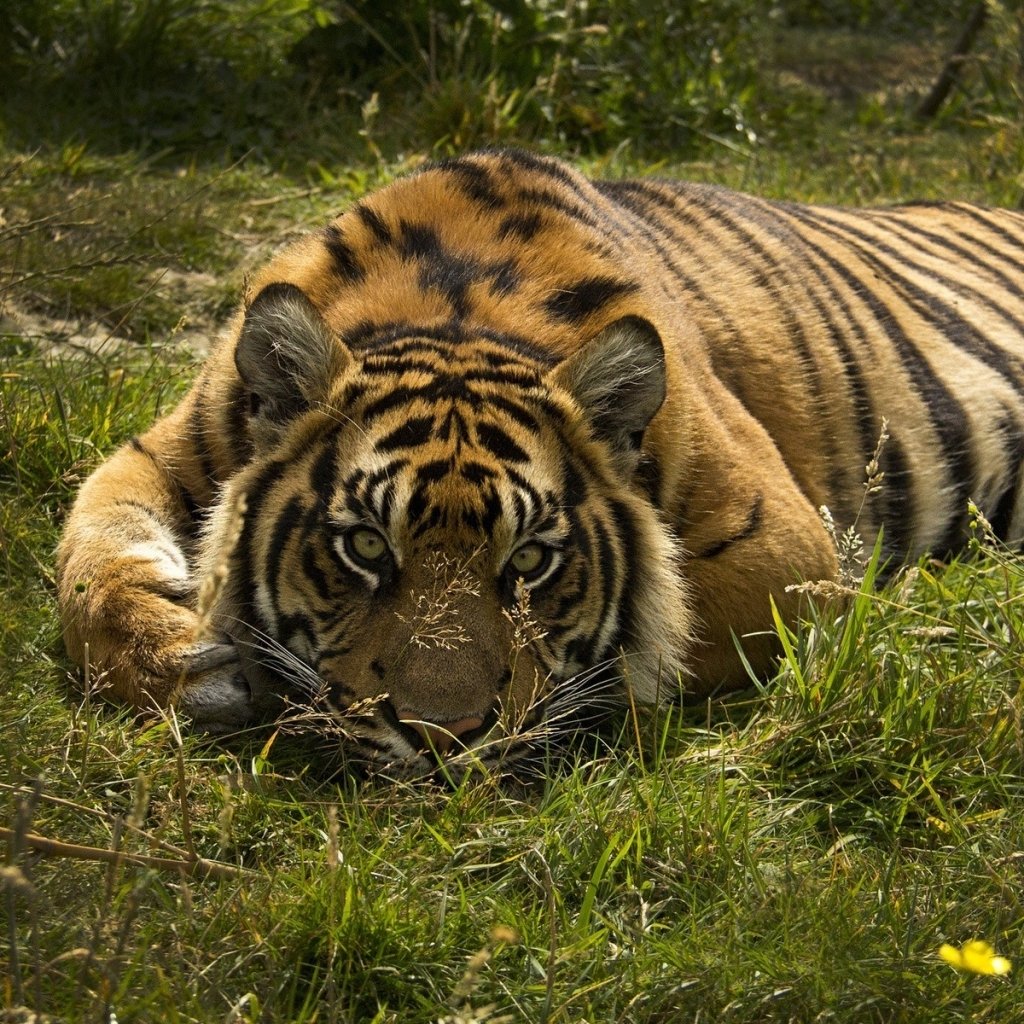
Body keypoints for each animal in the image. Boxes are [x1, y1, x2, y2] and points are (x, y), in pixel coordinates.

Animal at [56, 148, 1024, 773]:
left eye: (528, 563)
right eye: (365, 547)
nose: (444, 735)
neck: (452, 309)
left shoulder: (782, 550)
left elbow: (655, 627)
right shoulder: (158, 451)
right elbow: (88, 561)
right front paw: (183, 661)